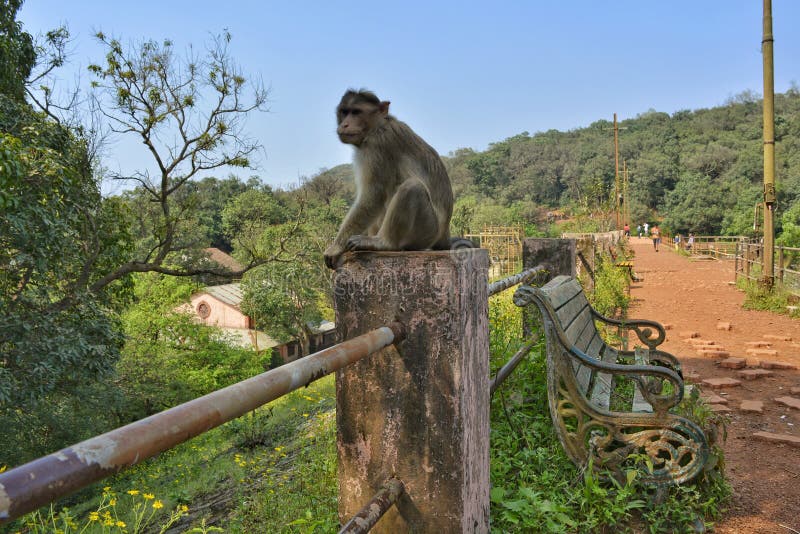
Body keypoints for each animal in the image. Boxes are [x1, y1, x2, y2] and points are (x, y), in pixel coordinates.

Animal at [324, 89, 471, 269]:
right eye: (344, 112)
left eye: (356, 112)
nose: (344, 124)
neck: (378, 126)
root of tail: (444, 235)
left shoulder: (378, 144)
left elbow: (373, 196)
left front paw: (336, 247)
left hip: (427, 232)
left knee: (412, 187)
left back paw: (384, 243)